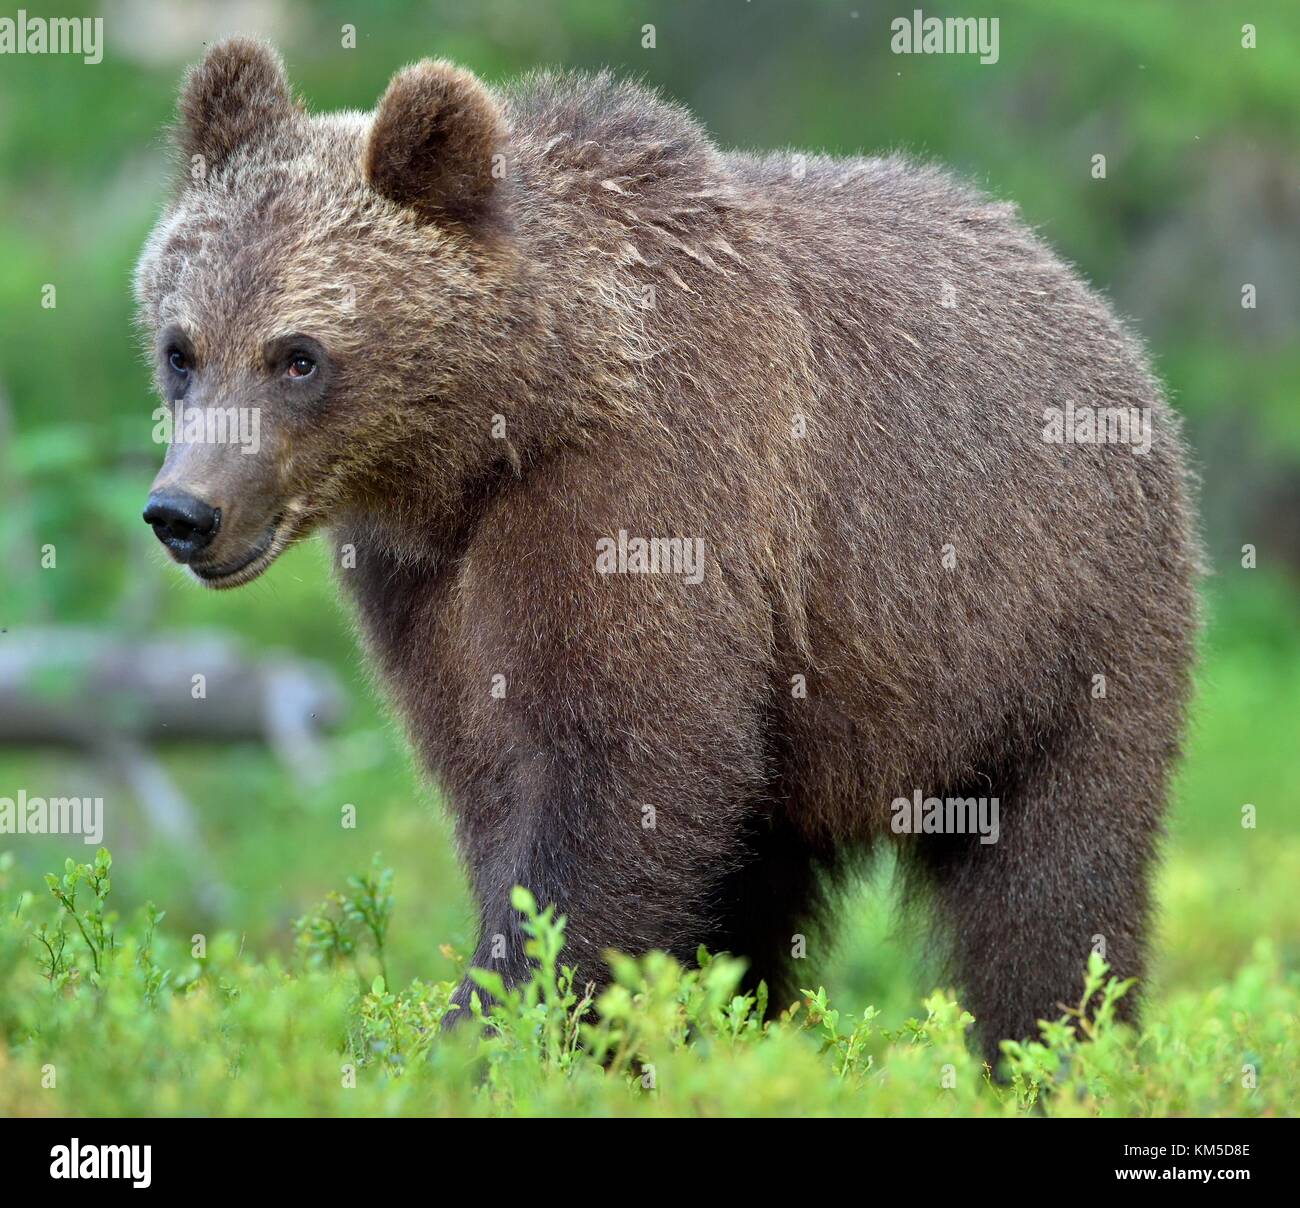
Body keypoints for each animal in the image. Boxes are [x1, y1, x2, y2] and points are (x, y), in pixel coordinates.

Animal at [137, 38, 1199, 1062]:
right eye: (181, 348)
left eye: (298, 356)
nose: (184, 510)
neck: (505, 430)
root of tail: (1089, 302)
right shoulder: (425, 587)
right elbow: (495, 788)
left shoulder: (653, 498)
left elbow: (629, 770)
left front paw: (490, 1033)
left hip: (1051, 633)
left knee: (1054, 885)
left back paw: (1058, 1054)